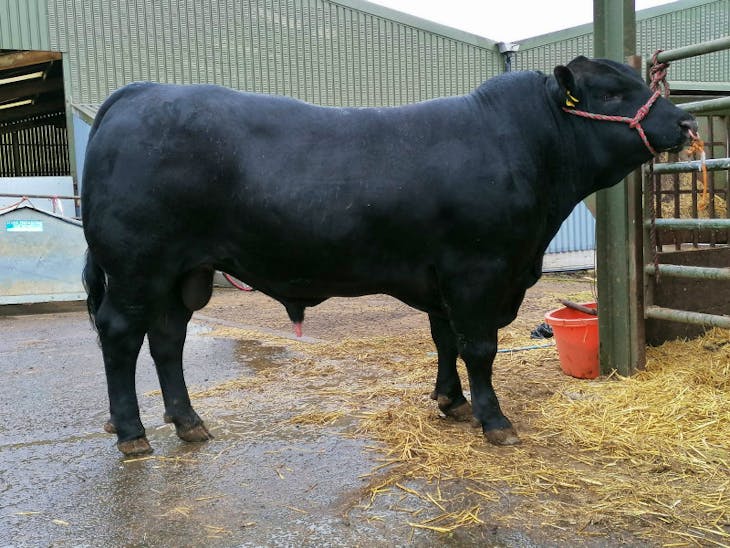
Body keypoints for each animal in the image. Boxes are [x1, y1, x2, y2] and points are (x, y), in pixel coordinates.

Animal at [82, 56, 696, 456]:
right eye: (611, 93)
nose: (685, 121)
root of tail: (140, 92)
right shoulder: (477, 271)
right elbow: (479, 347)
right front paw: (493, 418)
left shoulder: (442, 277)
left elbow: (445, 340)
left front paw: (450, 401)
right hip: (137, 266)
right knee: (120, 334)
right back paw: (132, 433)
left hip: (181, 272)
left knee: (167, 338)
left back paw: (188, 421)